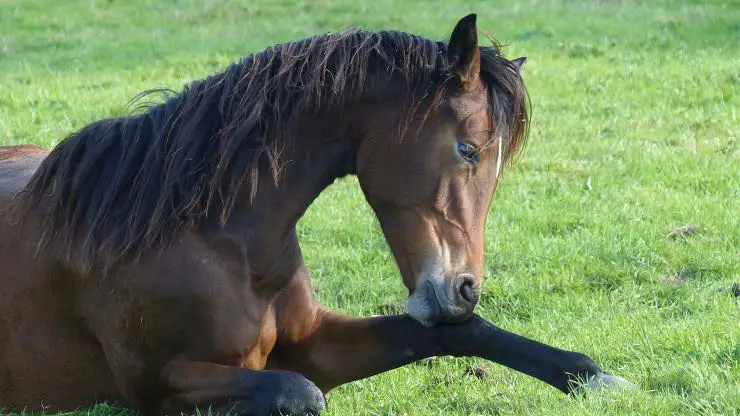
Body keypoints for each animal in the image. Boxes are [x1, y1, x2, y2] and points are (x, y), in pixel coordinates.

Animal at [0, 14, 630, 415]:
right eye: (469, 149)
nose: (464, 289)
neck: (216, 237)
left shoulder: (317, 343)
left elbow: (464, 333)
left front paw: (596, 378)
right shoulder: (156, 385)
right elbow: (298, 393)